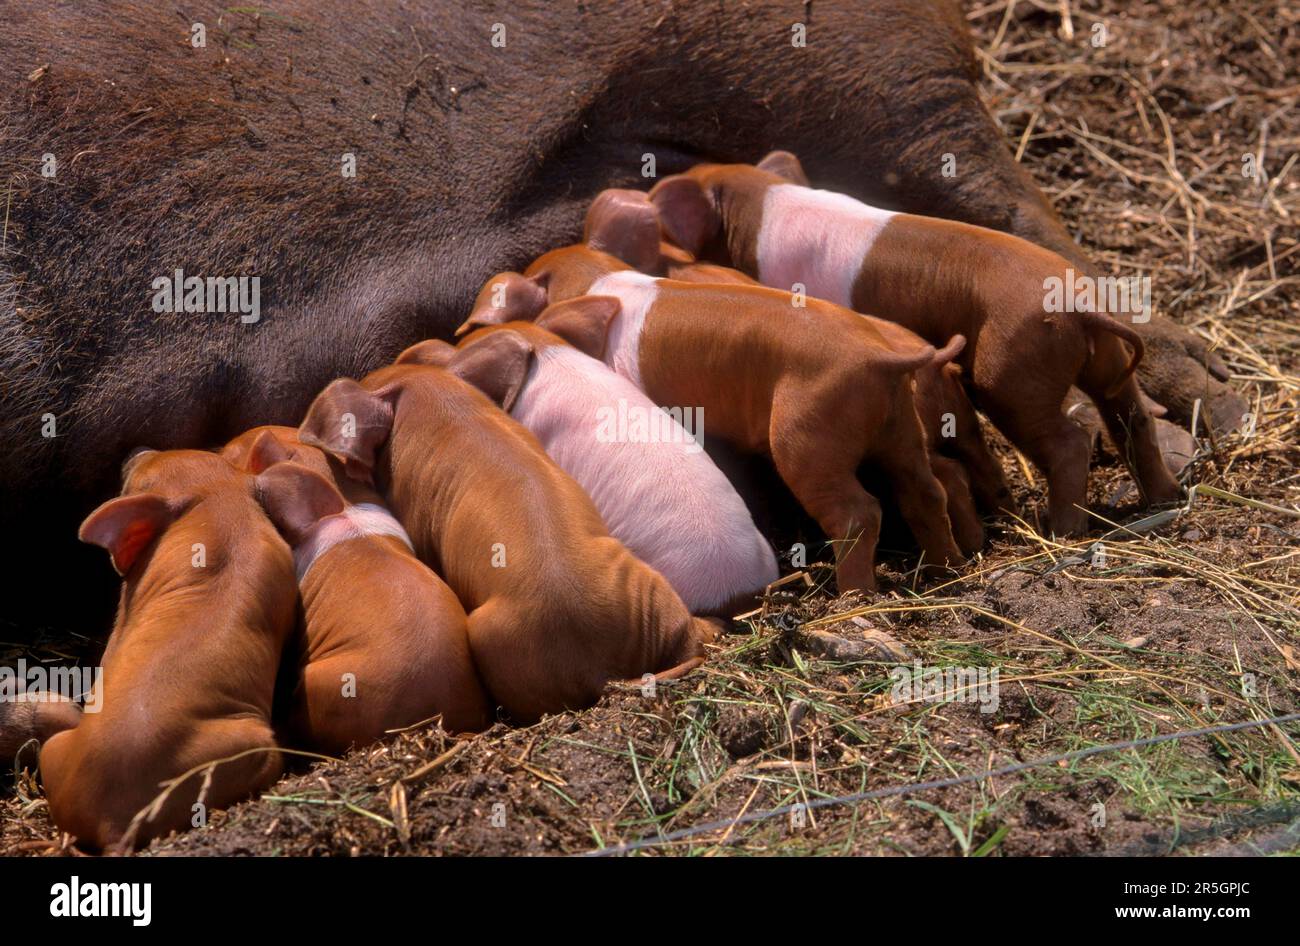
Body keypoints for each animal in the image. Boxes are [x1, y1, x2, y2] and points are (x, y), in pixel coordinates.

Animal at [461, 247, 965, 594]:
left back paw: (854, 597)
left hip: (806, 438)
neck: (597, 280)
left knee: (858, 512)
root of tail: (878, 357)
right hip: (902, 430)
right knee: (926, 490)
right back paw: (949, 569)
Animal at [648, 154, 1184, 535]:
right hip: (1106, 361)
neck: (758, 204)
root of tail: (1078, 306)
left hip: (1013, 372)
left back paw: (1063, 529)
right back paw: (1166, 497)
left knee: (1068, 440)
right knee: (1131, 417)